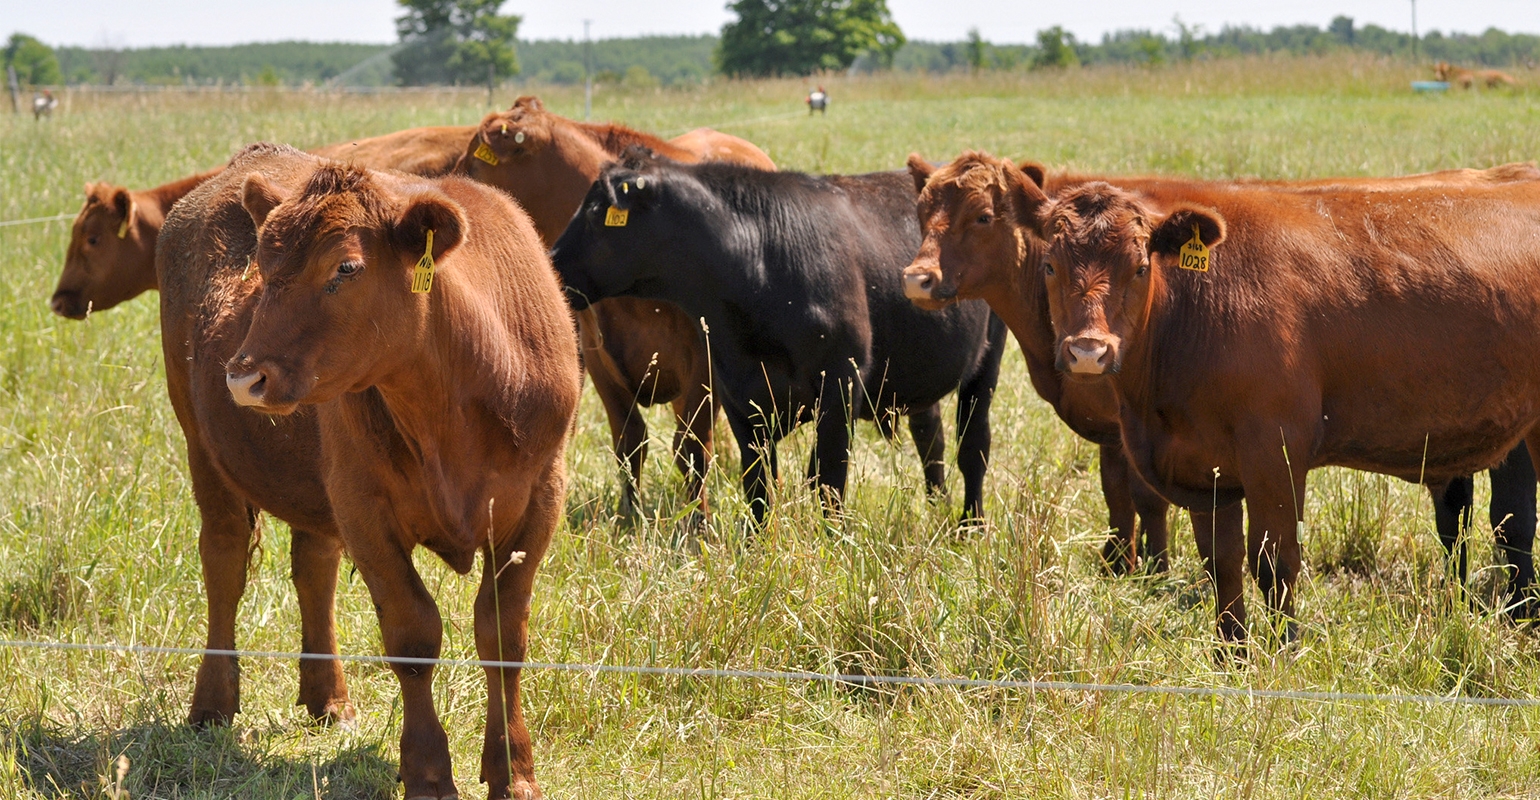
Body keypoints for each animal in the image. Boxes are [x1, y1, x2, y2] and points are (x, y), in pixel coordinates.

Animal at [454, 95, 776, 520]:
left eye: (475, 165)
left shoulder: (704, 361)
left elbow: (691, 447)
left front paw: (698, 522)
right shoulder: (597, 357)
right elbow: (630, 443)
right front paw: (629, 517)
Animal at [551, 147, 1007, 524]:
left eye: (596, 213)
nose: (552, 263)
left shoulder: (840, 384)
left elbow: (827, 478)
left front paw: (832, 545)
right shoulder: (739, 393)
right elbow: (758, 484)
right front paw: (758, 547)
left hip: (987, 361)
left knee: (973, 447)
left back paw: (970, 526)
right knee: (932, 439)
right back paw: (937, 507)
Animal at [903, 153, 1540, 583]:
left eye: (984, 216)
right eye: (1053, 266)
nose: (917, 279)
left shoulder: (1272, 453)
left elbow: (1250, 551)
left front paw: (1147, 571)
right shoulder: (1169, 447)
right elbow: (1201, 548)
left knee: (1513, 518)